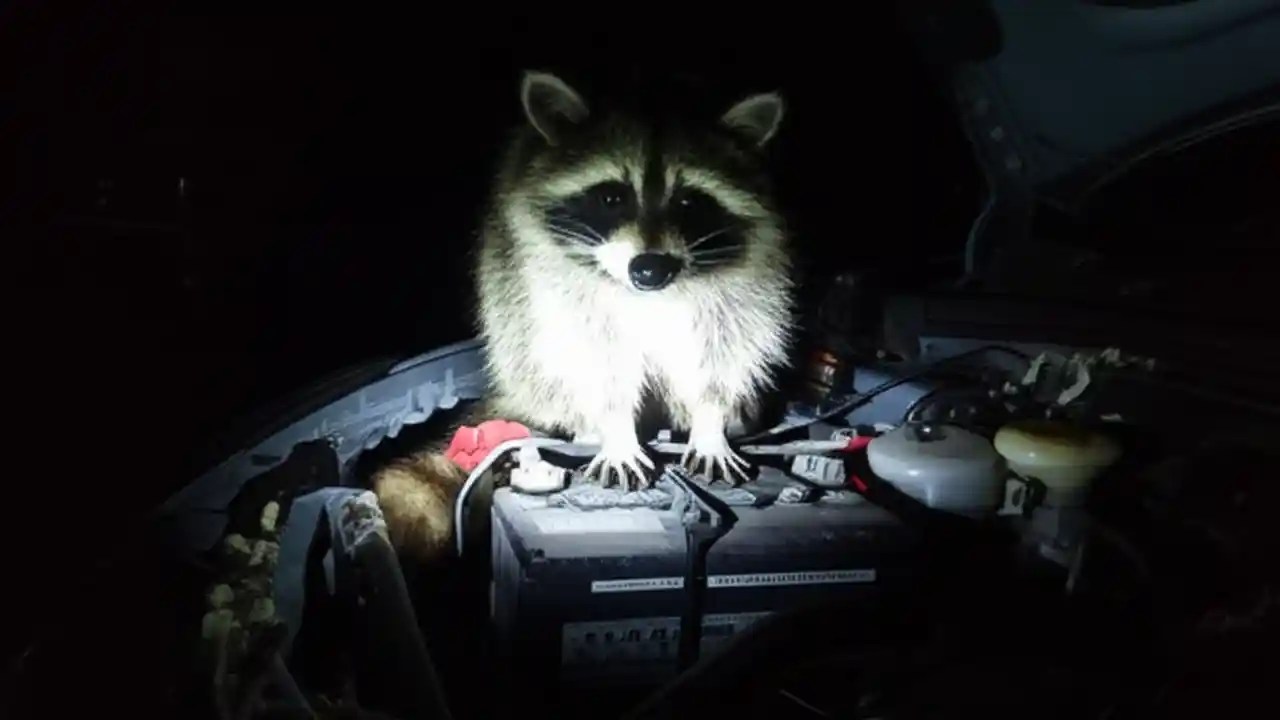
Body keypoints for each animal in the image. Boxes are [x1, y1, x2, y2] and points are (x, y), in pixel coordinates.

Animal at [372, 70, 796, 560]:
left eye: (689, 202)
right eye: (612, 197)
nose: (649, 270)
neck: (651, 296)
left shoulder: (746, 283)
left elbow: (724, 351)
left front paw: (710, 420)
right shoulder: (558, 286)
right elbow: (595, 361)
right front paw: (615, 427)